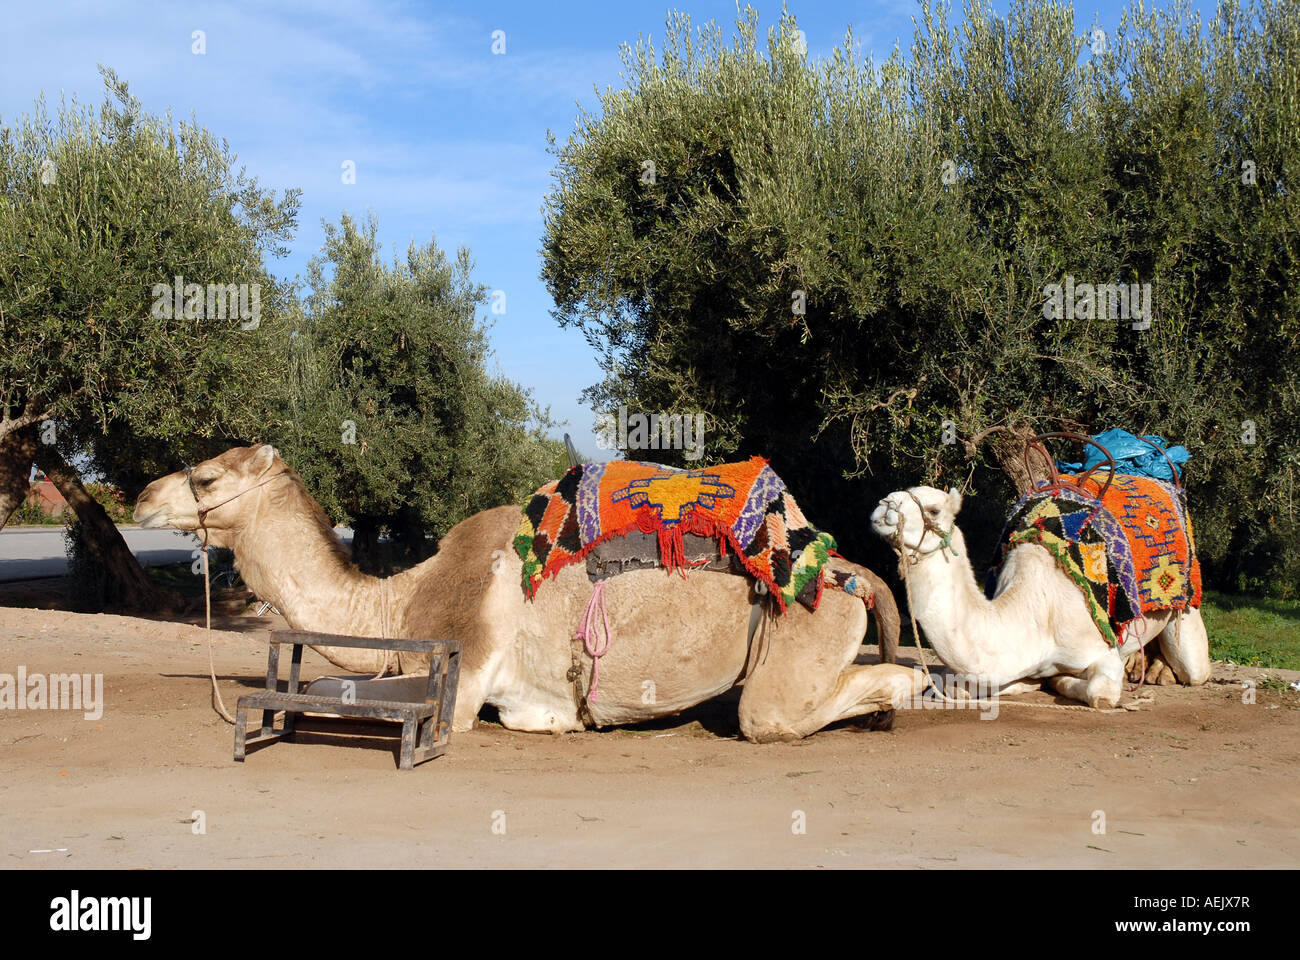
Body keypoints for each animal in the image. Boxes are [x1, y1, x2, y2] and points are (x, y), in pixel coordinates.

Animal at [133, 444, 924, 741]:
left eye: (206, 476)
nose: (140, 497)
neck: (402, 599)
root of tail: (849, 571)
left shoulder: (463, 666)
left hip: (803, 630)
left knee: (783, 710)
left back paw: (898, 696)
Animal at [870, 486, 1211, 708]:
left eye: (933, 510)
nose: (885, 504)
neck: (1035, 614)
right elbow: (961, 689)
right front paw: (1028, 683)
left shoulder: (1097, 650)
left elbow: (1099, 693)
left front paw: (1057, 681)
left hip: (1187, 609)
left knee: (1194, 669)